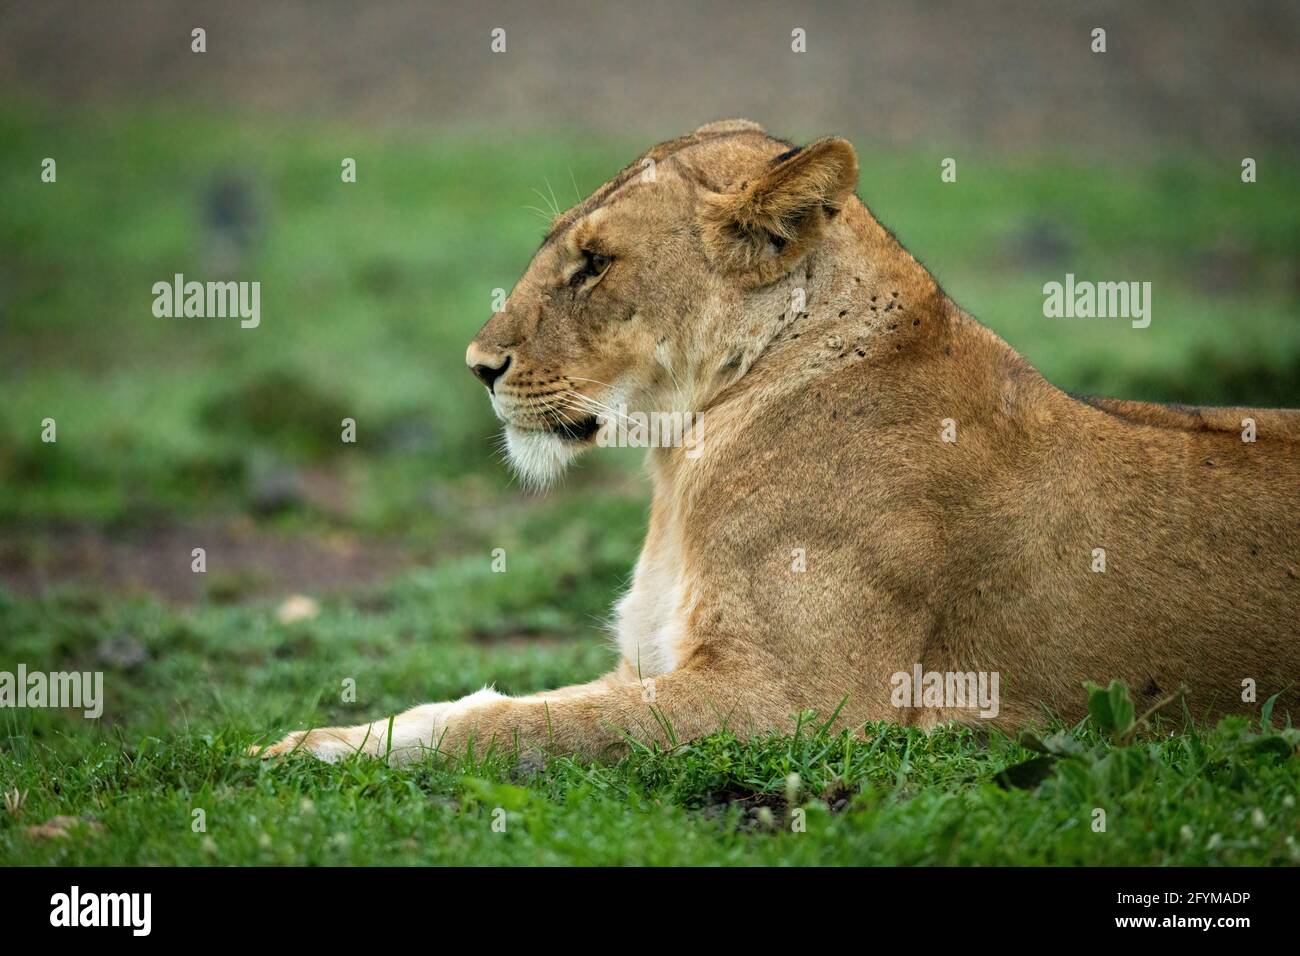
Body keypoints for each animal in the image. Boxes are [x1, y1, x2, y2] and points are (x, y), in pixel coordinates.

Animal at [261, 119, 1299, 764]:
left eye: (594, 263)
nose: (478, 365)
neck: (684, 457)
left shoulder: (798, 698)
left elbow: (512, 729)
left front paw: (306, 755)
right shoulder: (651, 664)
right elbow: (499, 705)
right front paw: (314, 739)